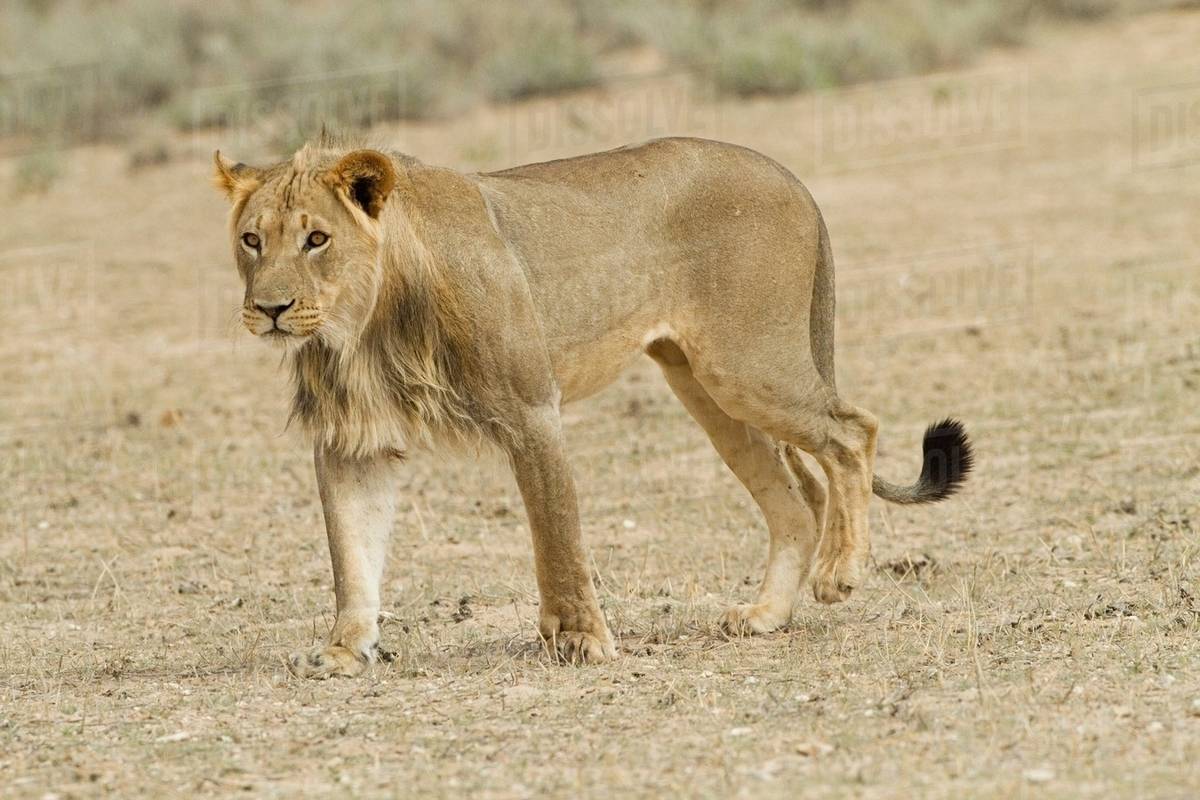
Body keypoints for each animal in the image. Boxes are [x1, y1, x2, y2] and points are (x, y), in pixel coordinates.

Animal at [212, 136, 972, 678]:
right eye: (253, 240)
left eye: (317, 239)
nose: (270, 309)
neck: (359, 327)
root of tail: (789, 175)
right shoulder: (354, 443)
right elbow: (352, 552)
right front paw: (344, 649)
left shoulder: (530, 408)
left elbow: (557, 536)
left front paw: (579, 640)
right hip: (703, 385)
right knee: (797, 496)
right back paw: (765, 614)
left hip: (747, 364)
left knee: (851, 432)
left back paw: (840, 573)